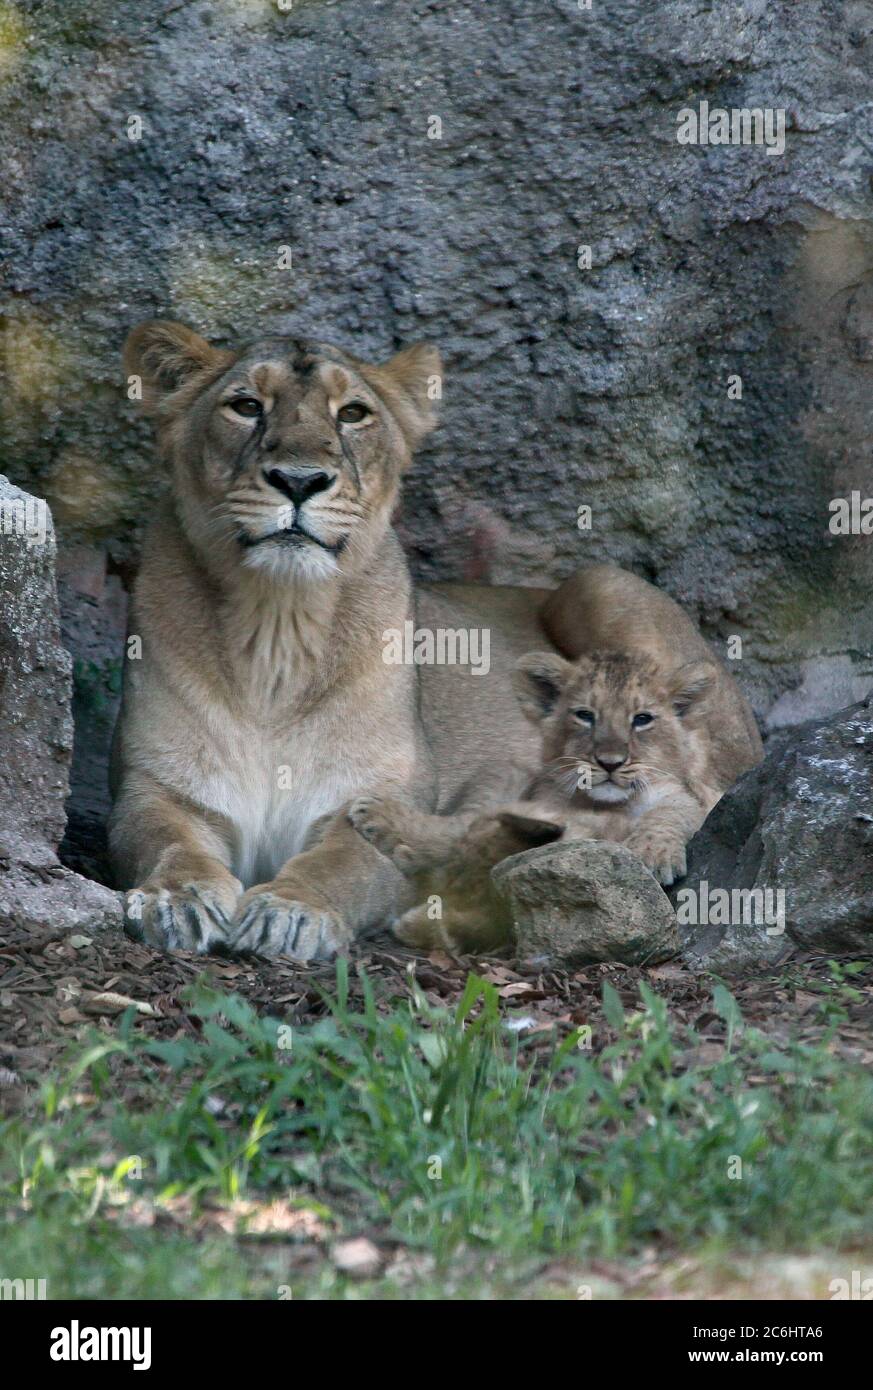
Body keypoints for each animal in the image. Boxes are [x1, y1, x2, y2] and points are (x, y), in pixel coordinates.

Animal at [348, 647, 759, 953]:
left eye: (642, 719)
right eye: (585, 715)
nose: (610, 762)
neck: (603, 806)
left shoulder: (689, 797)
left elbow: (671, 814)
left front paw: (652, 854)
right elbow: (455, 833)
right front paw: (383, 819)